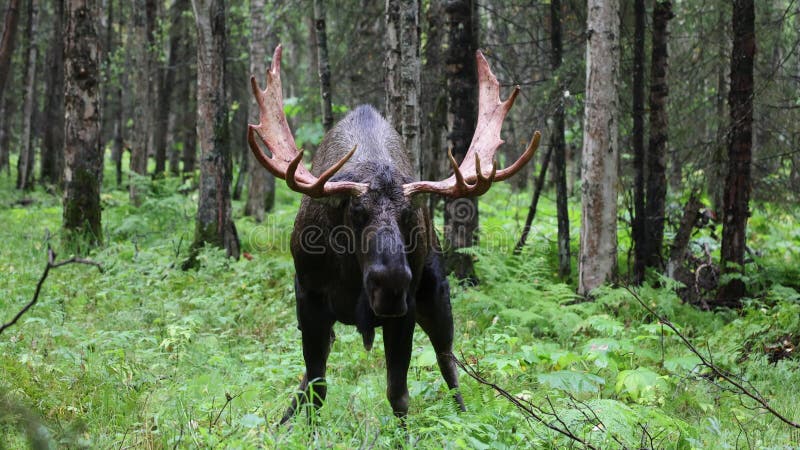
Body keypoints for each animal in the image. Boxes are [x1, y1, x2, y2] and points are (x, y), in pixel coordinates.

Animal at [248, 45, 540, 424]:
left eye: (409, 214)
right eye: (356, 213)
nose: (391, 282)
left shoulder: (406, 310)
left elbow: (398, 394)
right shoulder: (308, 297)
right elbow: (316, 386)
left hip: (436, 296)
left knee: (448, 361)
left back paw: (462, 416)